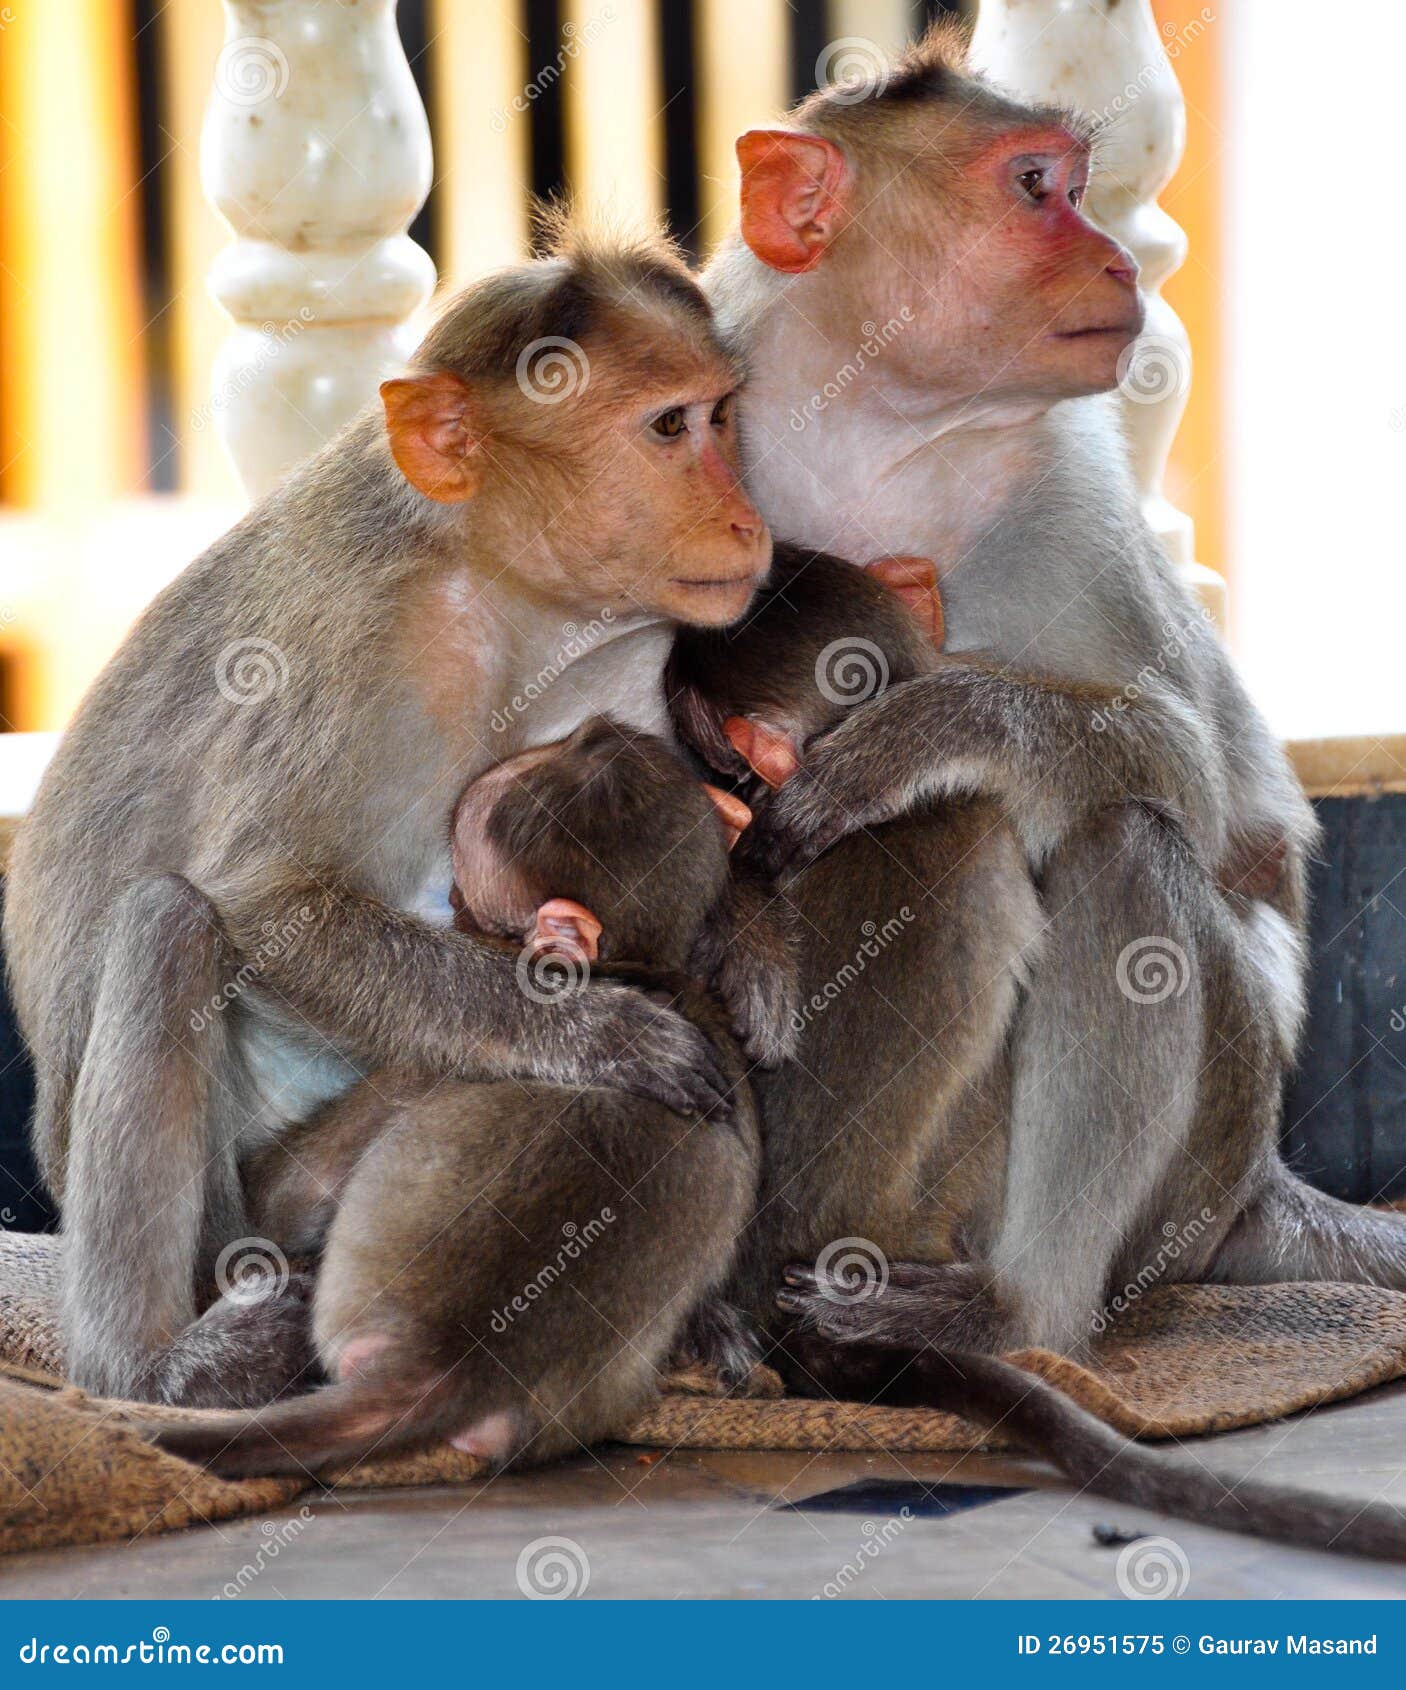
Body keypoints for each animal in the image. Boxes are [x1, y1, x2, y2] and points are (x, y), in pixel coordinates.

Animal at [142, 717, 767, 1478]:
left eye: (468, 893)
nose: (451, 906)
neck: (643, 965)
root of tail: (448, 1365)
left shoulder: (419, 1075)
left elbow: (283, 1194)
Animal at [696, 21, 1406, 1367]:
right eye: (1035, 189)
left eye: (1077, 187)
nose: (1117, 255)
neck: (869, 430)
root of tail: (1256, 1188)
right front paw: (739, 925)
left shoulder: (1063, 487)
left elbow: (1192, 776)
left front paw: (927, 730)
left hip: (1197, 1166)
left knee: (1123, 843)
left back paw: (1018, 1308)